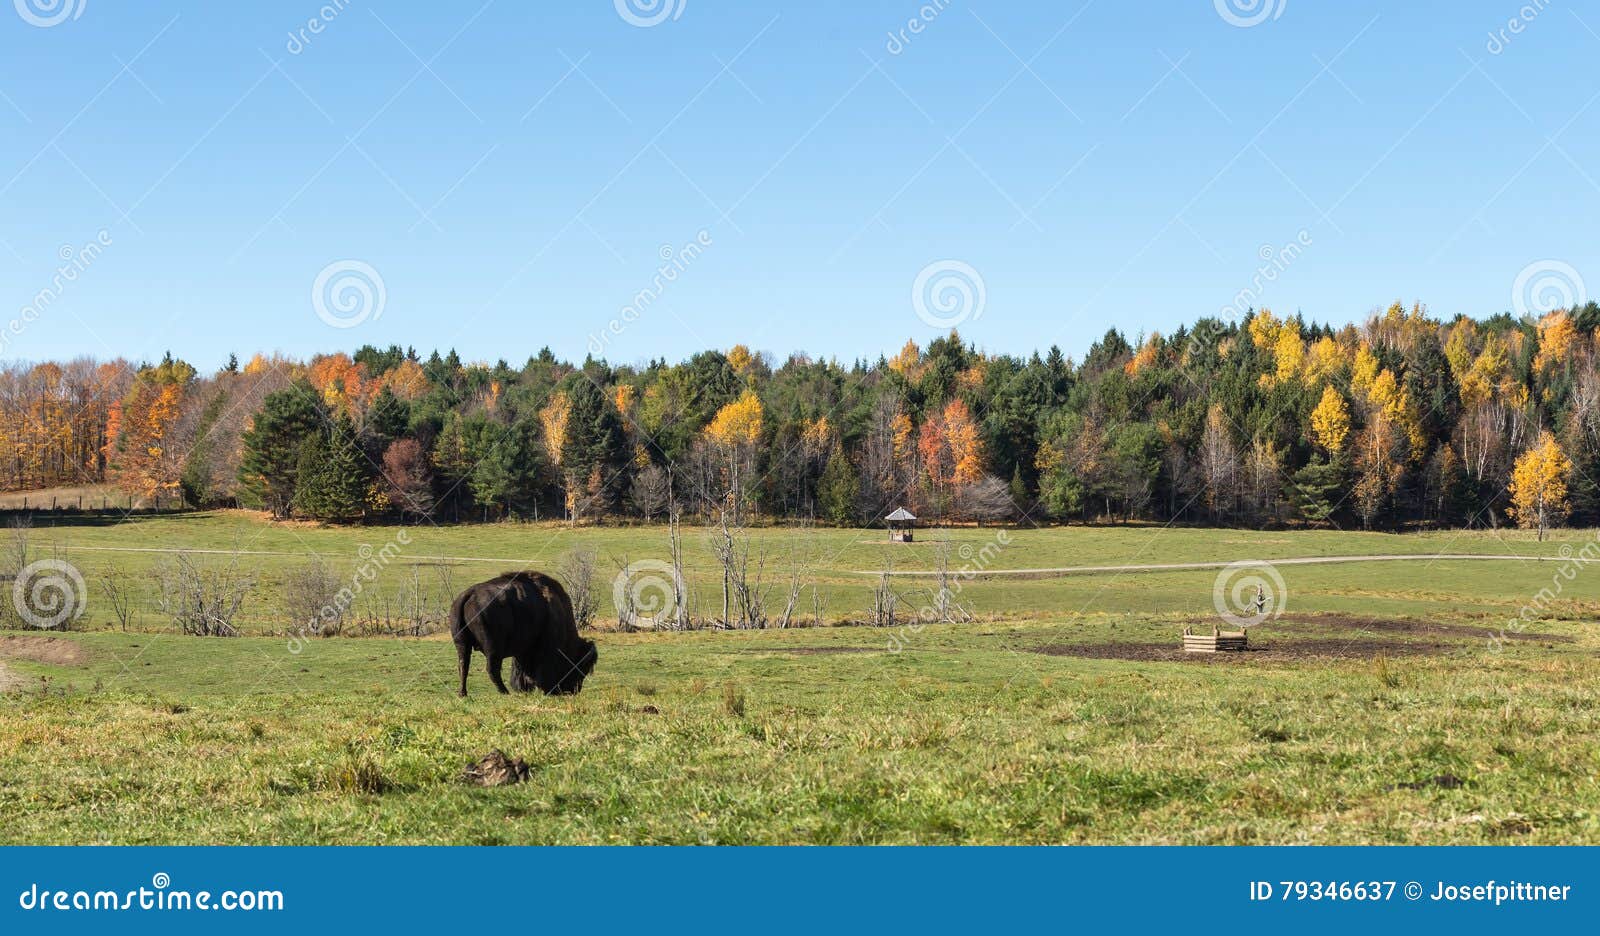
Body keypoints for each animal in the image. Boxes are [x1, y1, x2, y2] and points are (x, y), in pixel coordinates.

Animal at [449, 571, 597, 697]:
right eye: (580, 668)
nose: (574, 690)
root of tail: (470, 594)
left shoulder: (522, 651)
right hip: (493, 648)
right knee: (492, 669)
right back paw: (505, 692)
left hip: (462, 644)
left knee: (463, 666)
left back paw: (463, 694)